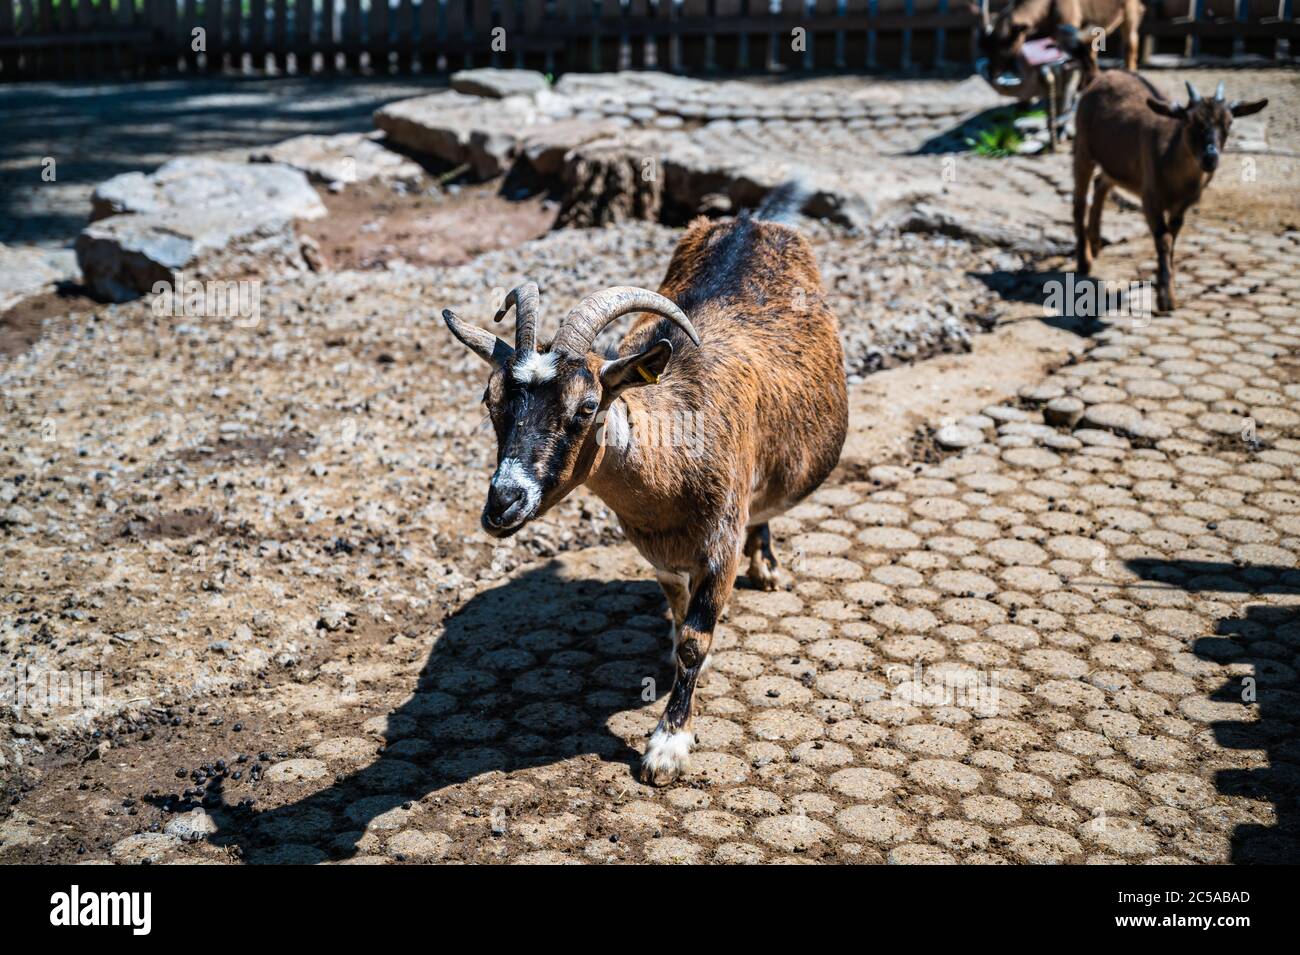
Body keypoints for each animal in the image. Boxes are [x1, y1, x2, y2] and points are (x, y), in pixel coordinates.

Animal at [441, 182, 848, 784]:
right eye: (490, 401)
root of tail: (753, 219)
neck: (676, 452)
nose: (503, 504)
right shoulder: (657, 549)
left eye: (587, 408)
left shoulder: (720, 540)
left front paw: (667, 746)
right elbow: (680, 617)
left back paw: (768, 566)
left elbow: (696, 641)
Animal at [977, 0, 1143, 76]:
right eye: (984, 47)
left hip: (1130, 12)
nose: (992, 73)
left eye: (1005, 45)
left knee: (1131, 44)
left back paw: (1131, 72)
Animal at [1073, 73, 1268, 312]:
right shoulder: (1150, 198)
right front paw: (1166, 298)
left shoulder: (1183, 204)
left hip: (1116, 164)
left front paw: (1166, 283)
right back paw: (1084, 261)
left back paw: (1095, 243)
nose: (1210, 158)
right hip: (1083, 146)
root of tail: (1101, 76)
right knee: (1080, 200)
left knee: (1101, 182)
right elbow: (1163, 239)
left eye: (1229, 123)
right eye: (1190, 121)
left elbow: (1173, 238)